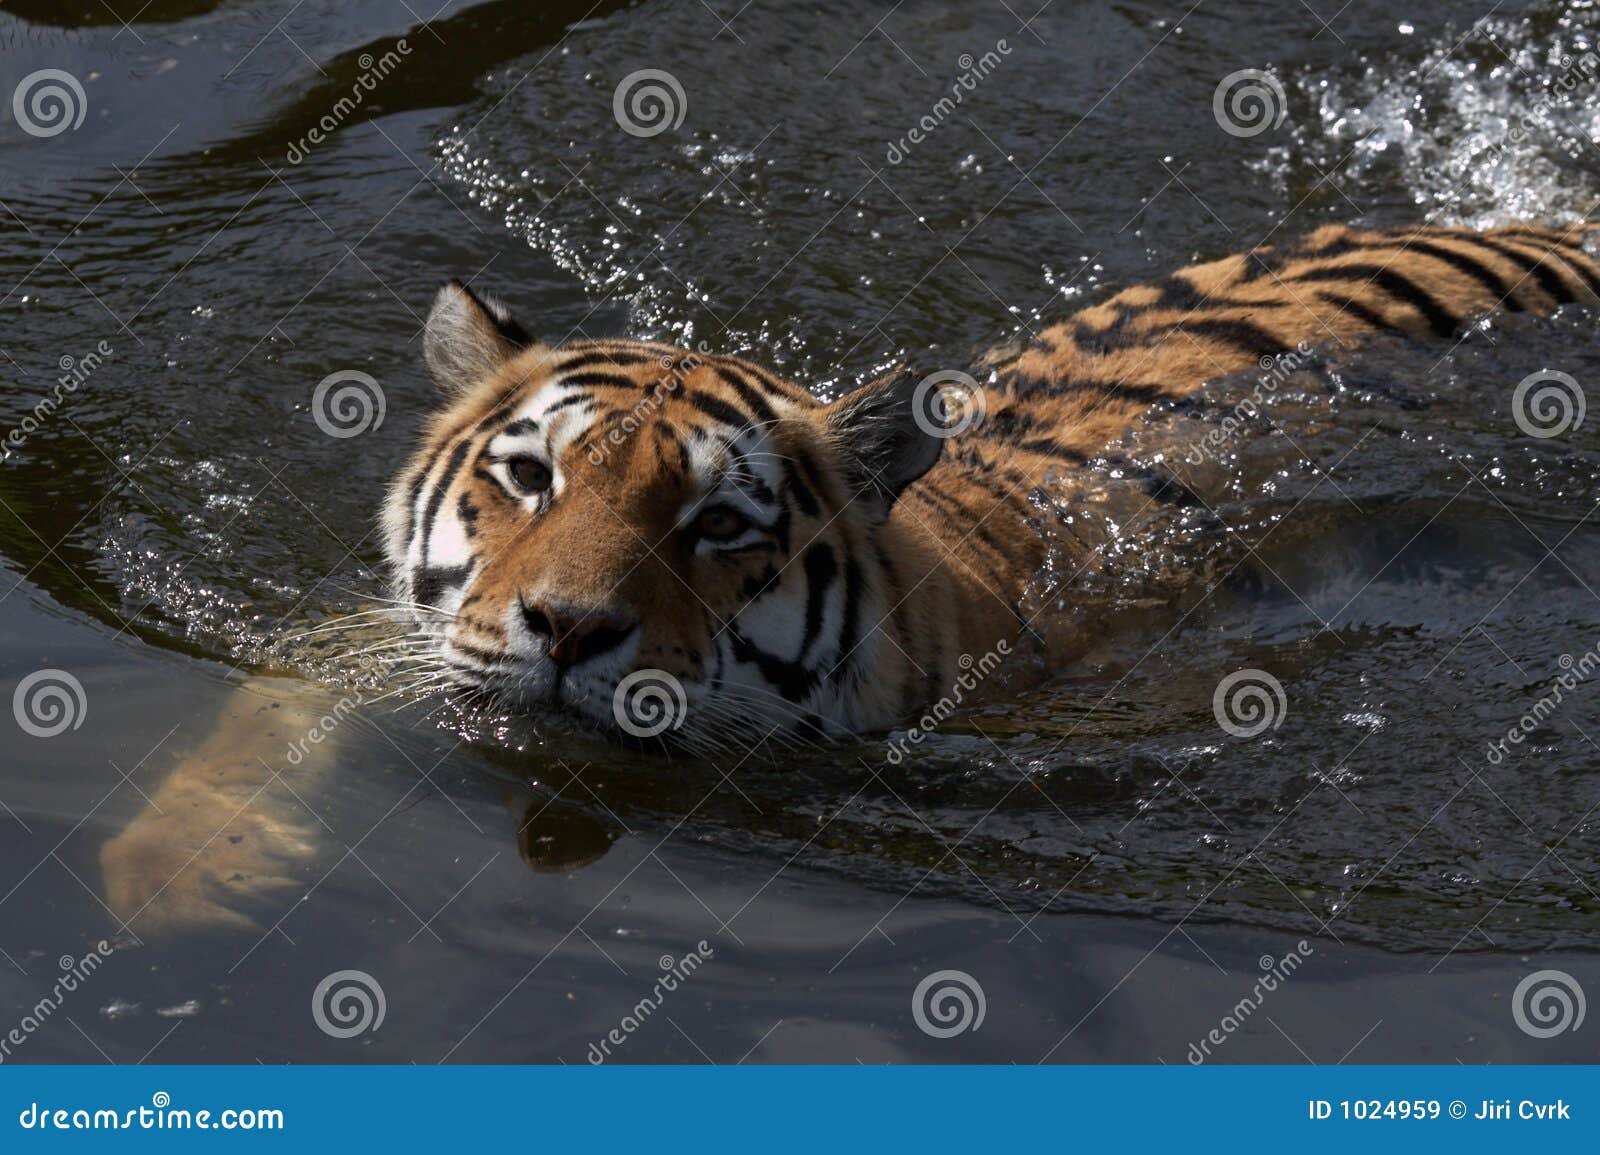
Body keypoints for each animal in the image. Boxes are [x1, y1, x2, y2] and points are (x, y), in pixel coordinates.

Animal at [100, 222, 1600, 933]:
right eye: (530, 477)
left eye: (717, 523)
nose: (568, 629)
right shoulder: (380, 642)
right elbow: (270, 702)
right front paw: (182, 870)